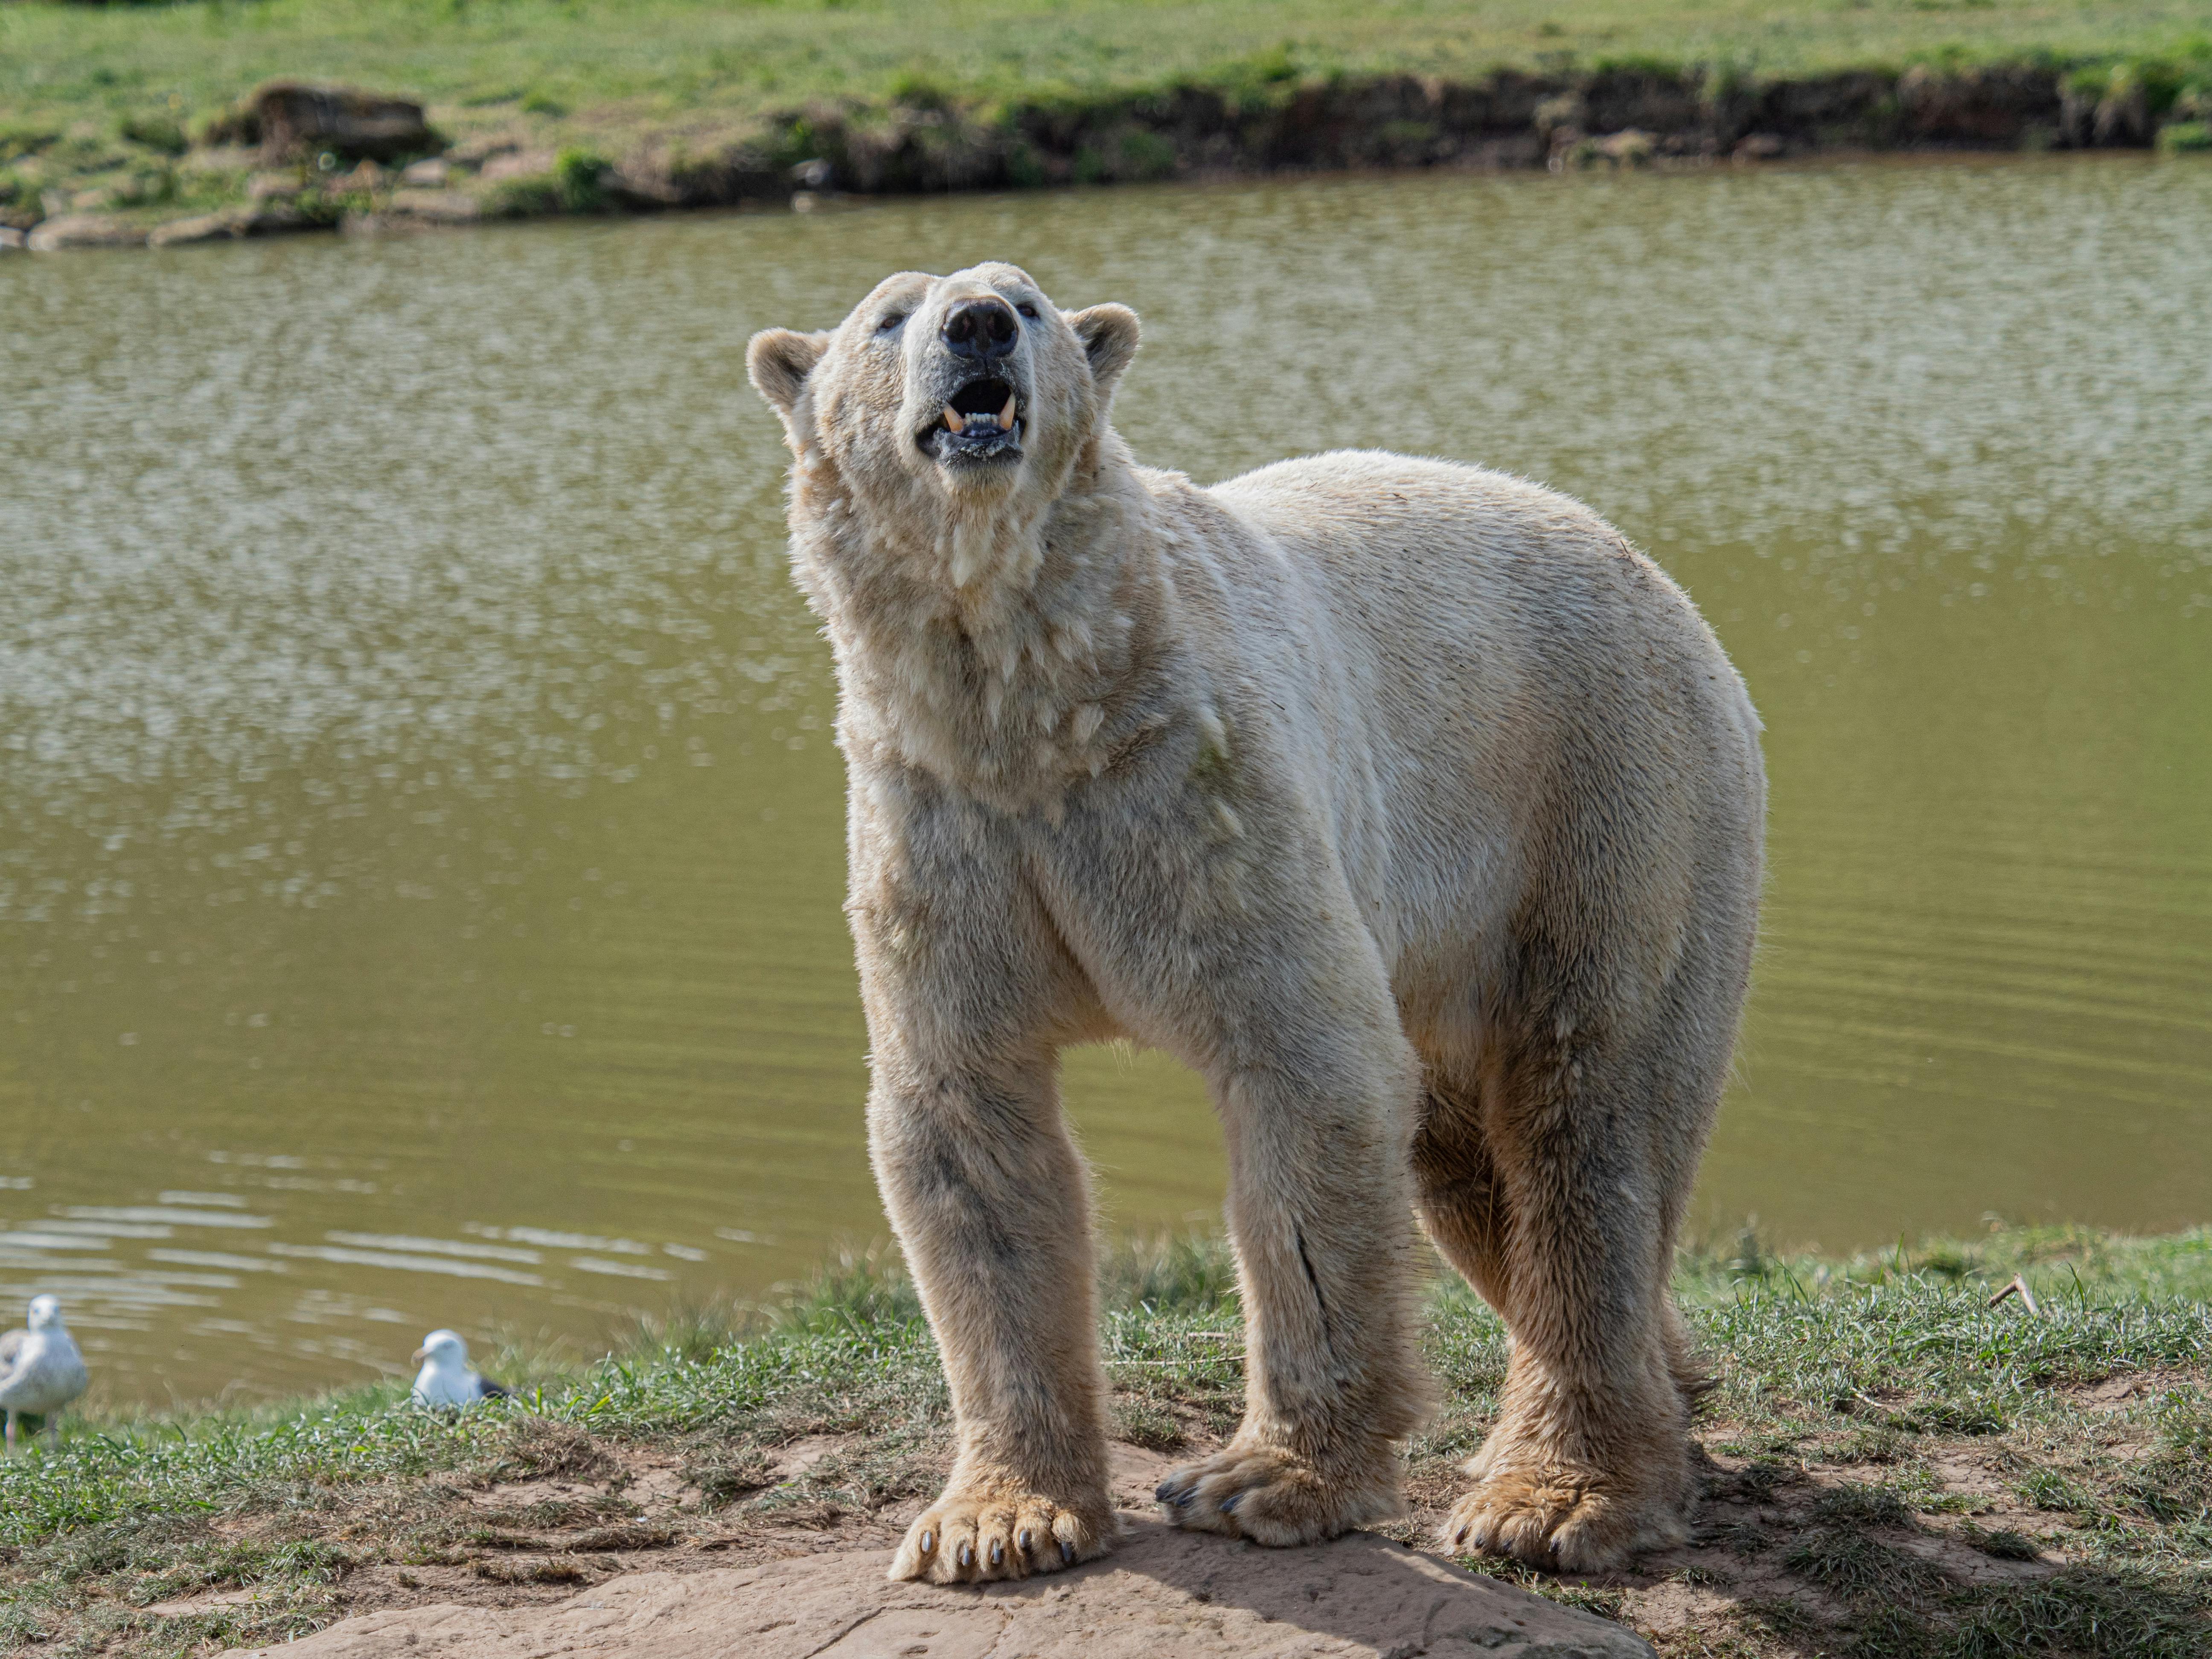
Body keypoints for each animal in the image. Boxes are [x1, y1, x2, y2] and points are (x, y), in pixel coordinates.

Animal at [746, 263, 1764, 1584]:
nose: (976, 326)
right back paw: (1663, 1385)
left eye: (1027, 302)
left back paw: (1554, 1495)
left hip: (1608, 798)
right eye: (888, 317)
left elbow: (1305, 1072)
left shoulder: (1202, 791)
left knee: (1583, 1112)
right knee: (1466, 1164)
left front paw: (1262, 1481)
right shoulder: (942, 825)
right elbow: (966, 1127)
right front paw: (996, 1521)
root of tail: (1656, 574)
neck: (1039, 713)